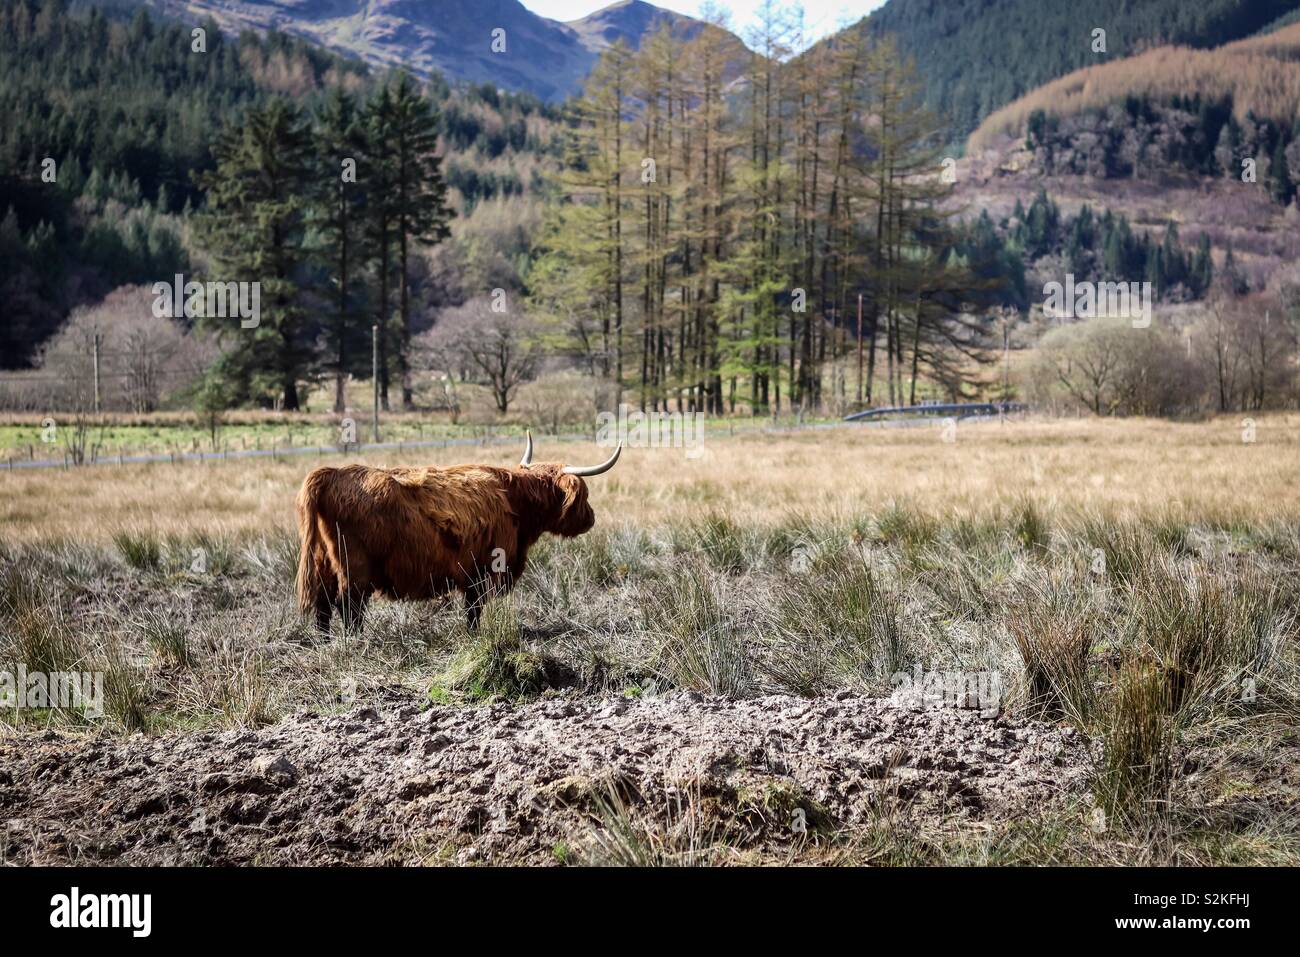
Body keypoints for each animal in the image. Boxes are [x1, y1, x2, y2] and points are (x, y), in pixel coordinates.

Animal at [295, 432, 621, 632]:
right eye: (585, 495)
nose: (591, 518)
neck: (514, 499)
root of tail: (332, 473)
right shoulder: (482, 570)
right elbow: (474, 609)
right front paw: (475, 636)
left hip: (322, 562)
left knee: (323, 606)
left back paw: (327, 644)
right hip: (355, 569)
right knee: (347, 606)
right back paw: (356, 642)